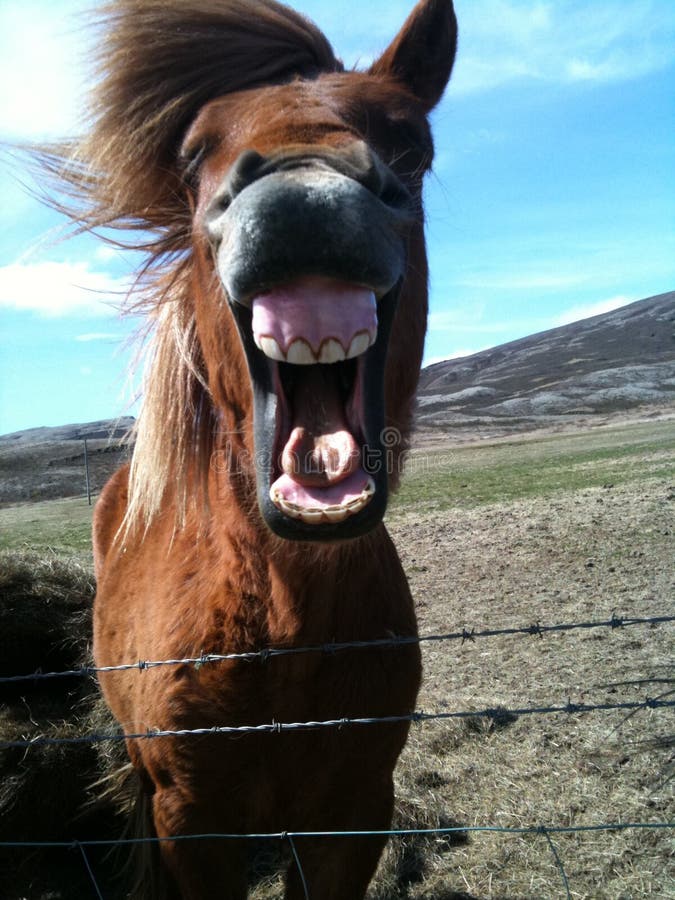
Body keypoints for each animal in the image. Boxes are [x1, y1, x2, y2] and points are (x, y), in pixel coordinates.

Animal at [55, 0, 457, 896]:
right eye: (191, 153)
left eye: (412, 143)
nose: (304, 193)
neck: (286, 627)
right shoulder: (192, 819)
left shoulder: (353, 810)